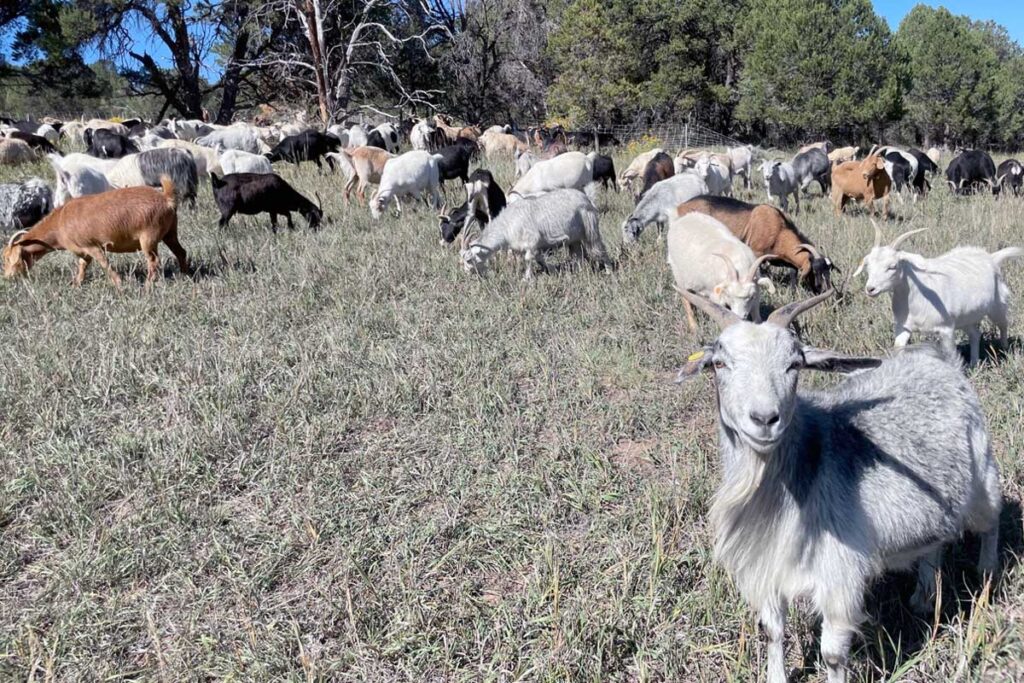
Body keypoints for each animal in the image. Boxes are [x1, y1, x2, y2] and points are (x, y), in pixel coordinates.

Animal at [3, 178, 187, 285]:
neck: (59, 222)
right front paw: (76, 285)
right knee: (181, 252)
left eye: (7, 259)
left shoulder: (92, 246)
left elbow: (104, 263)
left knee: (154, 261)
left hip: (148, 238)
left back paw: (148, 287)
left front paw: (119, 285)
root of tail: (166, 198)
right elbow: (82, 266)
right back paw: (185, 274)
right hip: (170, 233)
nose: (7, 277)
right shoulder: (83, 251)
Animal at [674, 286, 1000, 683]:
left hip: (983, 476)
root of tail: (944, 363)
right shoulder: (766, 565)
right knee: (934, 543)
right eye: (720, 364)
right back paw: (923, 598)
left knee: (991, 521)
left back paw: (986, 573)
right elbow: (773, 631)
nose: (765, 419)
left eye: (794, 364)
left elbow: (831, 655)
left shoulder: (840, 576)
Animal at [854, 222, 1023, 367]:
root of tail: (992, 258)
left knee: (1003, 324)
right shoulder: (903, 327)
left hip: (997, 306)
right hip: (965, 318)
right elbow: (898, 347)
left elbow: (950, 356)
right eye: (868, 265)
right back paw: (974, 363)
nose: (870, 289)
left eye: (892, 266)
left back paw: (1004, 350)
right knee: (975, 334)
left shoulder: (946, 329)